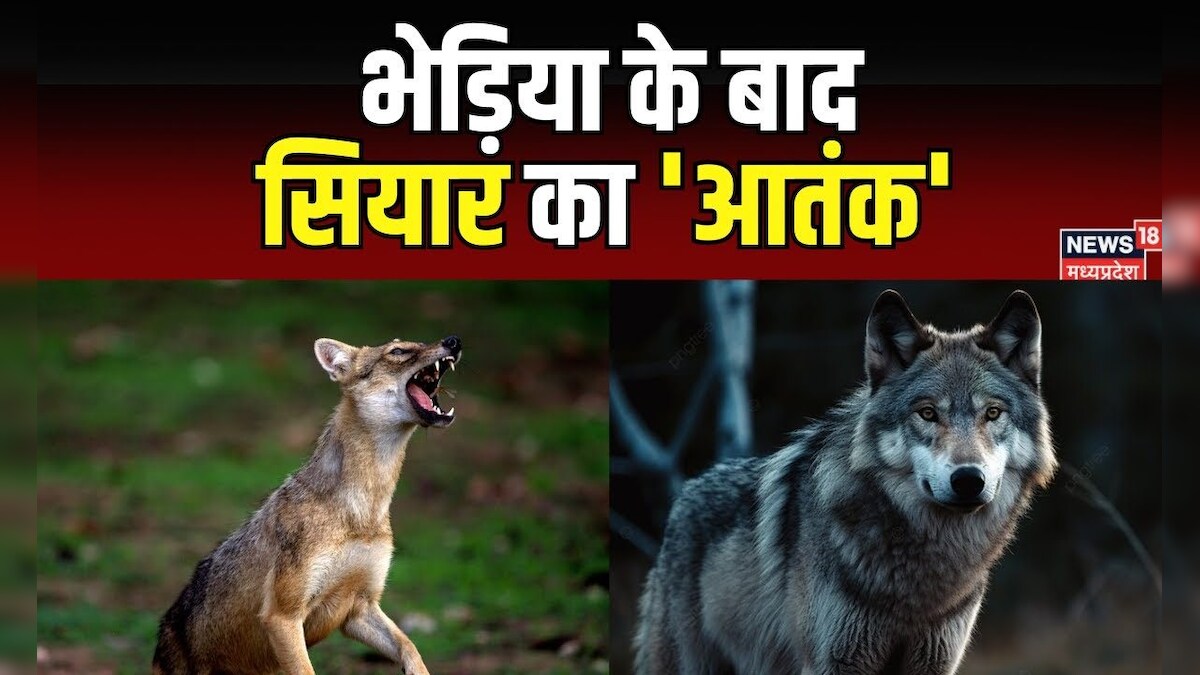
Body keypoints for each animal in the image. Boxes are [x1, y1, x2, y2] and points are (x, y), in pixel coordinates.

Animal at [152, 334, 463, 675]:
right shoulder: (283, 617)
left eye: (417, 342)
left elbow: (410, 647)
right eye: (398, 351)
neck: (362, 512)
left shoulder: (359, 609)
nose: (453, 341)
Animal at [634, 290, 1056, 675]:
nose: (968, 479)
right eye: (927, 413)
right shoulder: (832, 662)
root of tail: (686, 495)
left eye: (993, 413)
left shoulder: (935, 663)